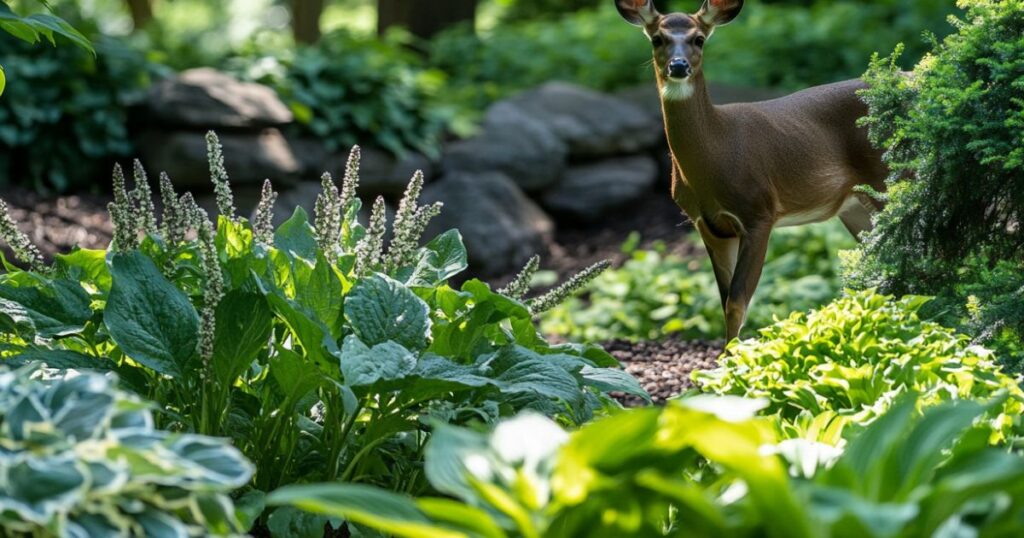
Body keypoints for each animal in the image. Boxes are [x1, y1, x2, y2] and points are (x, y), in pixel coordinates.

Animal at [614, 0, 889, 341]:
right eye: (656, 39)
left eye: (699, 39)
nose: (678, 66)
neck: (716, 154)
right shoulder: (708, 224)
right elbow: (724, 301)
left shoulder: (758, 212)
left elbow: (737, 302)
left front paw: (734, 355)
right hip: (855, 205)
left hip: (890, 177)